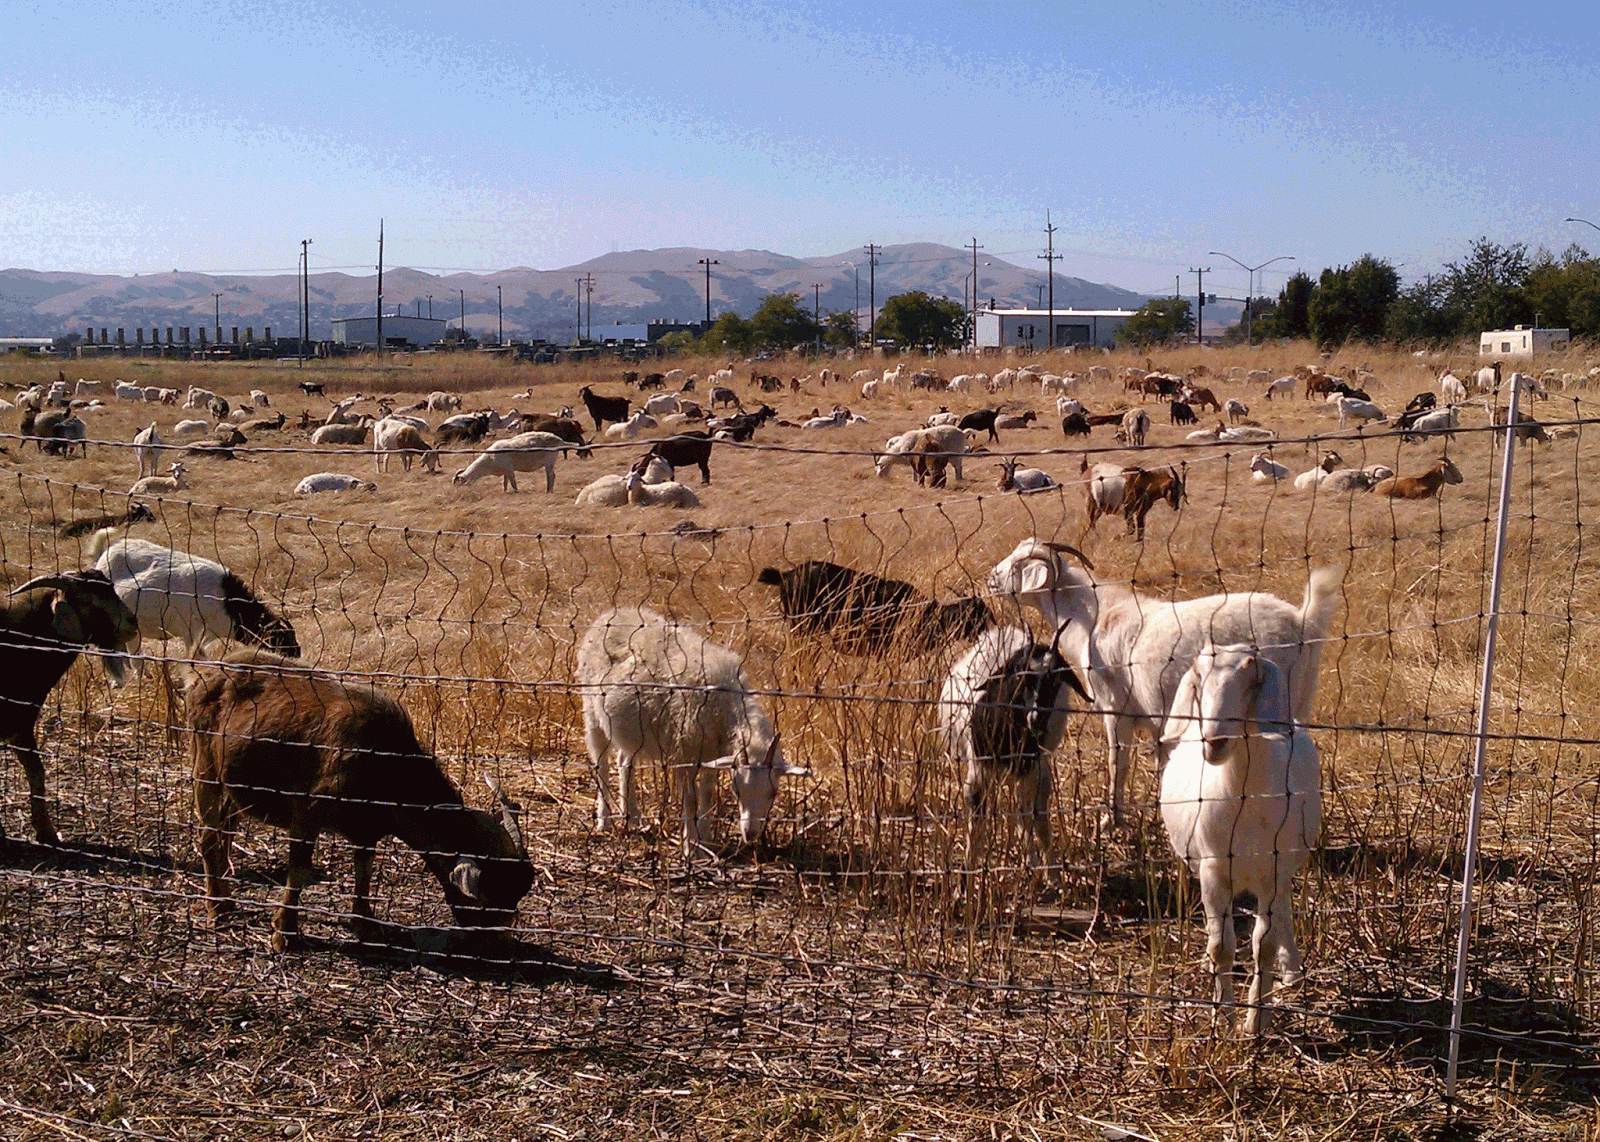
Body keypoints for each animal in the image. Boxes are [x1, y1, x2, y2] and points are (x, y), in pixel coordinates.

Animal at [187, 649, 534, 951]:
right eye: (487, 900)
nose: (498, 944)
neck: (384, 760)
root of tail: (204, 670)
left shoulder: (367, 829)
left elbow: (363, 868)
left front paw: (365, 923)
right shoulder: (308, 813)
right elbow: (299, 870)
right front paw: (284, 934)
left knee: (225, 830)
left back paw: (227, 896)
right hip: (204, 762)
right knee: (208, 836)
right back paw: (218, 909)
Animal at [577, 607, 809, 856]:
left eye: (773, 793)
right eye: (736, 791)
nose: (751, 835)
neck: (725, 705)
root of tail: (613, 612)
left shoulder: (711, 755)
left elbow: (707, 794)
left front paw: (705, 841)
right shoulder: (683, 753)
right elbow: (690, 799)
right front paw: (690, 846)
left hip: (632, 730)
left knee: (623, 761)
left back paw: (633, 816)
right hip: (592, 712)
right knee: (602, 764)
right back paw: (604, 820)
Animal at [938, 626, 1089, 863]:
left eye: (1057, 680)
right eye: (1019, 674)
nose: (1036, 718)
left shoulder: (1034, 766)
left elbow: (1034, 816)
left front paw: (1044, 867)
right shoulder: (978, 768)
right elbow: (976, 818)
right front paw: (969, 869)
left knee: (1028, 807)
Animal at [987, 539, 1340, 826]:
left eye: (1019, 566)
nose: (991, 579)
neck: (1093, 619)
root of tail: (1302, 621)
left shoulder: (1115, 707)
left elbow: (1117, 762)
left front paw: (1112, 820)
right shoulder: (1157, 716)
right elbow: (1161, 763)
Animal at [1160, 643, 1320, 1034]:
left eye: (1253, 679)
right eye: (1198, 678)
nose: (1215, 742)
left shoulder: (1274, 871)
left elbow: (1264, 943)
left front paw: (1256, 1020)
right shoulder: (1213, 873)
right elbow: (1223, 947)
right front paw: (1222, 1017)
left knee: (1283, 915)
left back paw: (1291, 970)